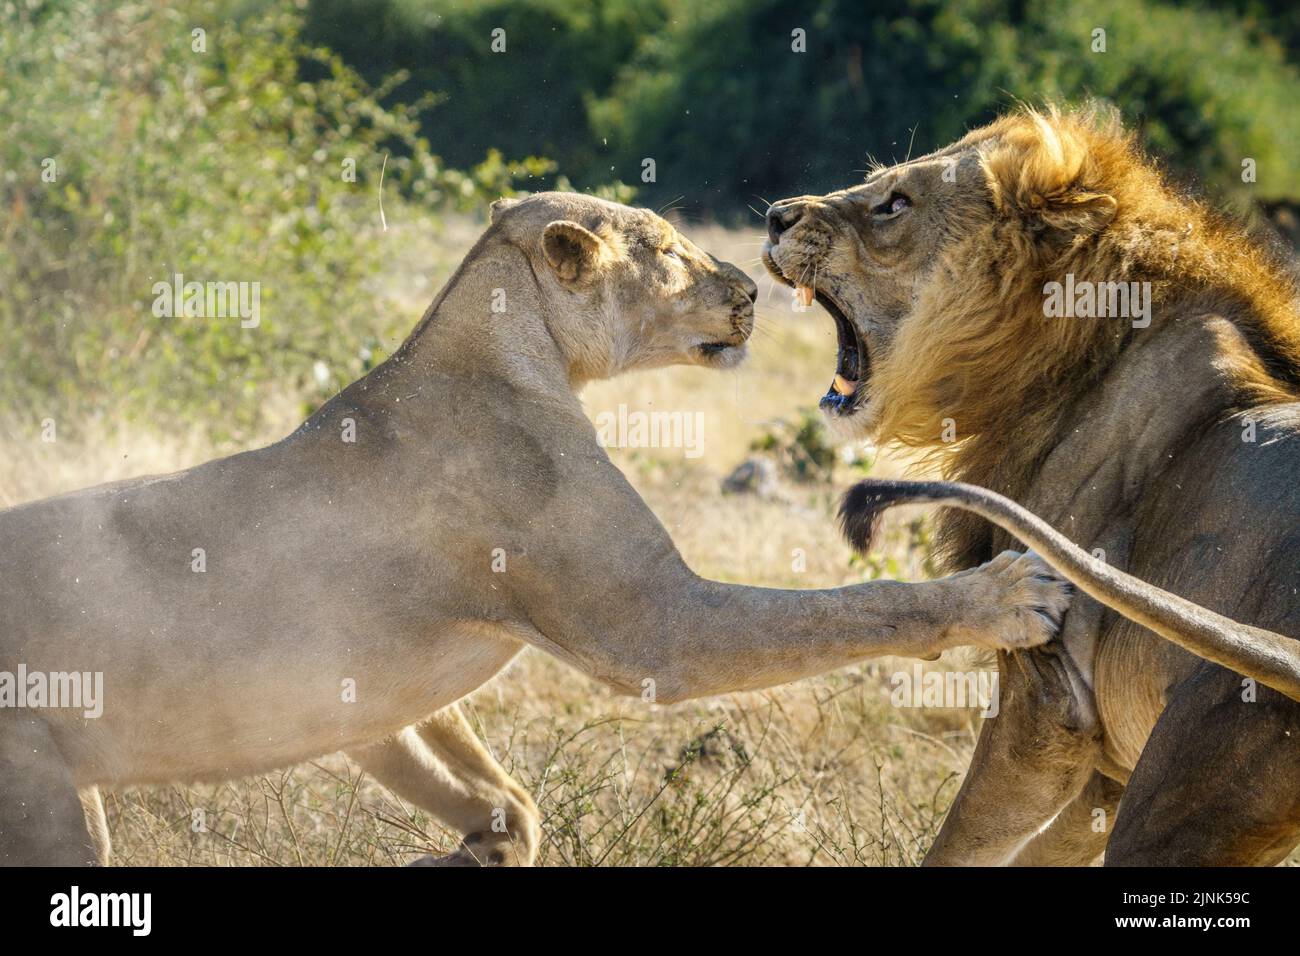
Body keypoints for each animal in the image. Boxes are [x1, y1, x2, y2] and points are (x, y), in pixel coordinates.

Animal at [0, 192, 1069, 866]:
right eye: (669, 252)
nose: (748, 292)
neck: (518, 351)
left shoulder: (376, 687)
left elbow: (498, 794)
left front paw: (481, 844)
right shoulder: (654, 625)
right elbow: (847, 609)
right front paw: (1002, 594)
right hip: (44, 791)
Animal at [763, 105, 1300, 866]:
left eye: (894, 203)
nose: (774, 216)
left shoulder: (1048, 703)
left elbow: (960, 845)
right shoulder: (1110, 766)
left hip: (1182, 790)